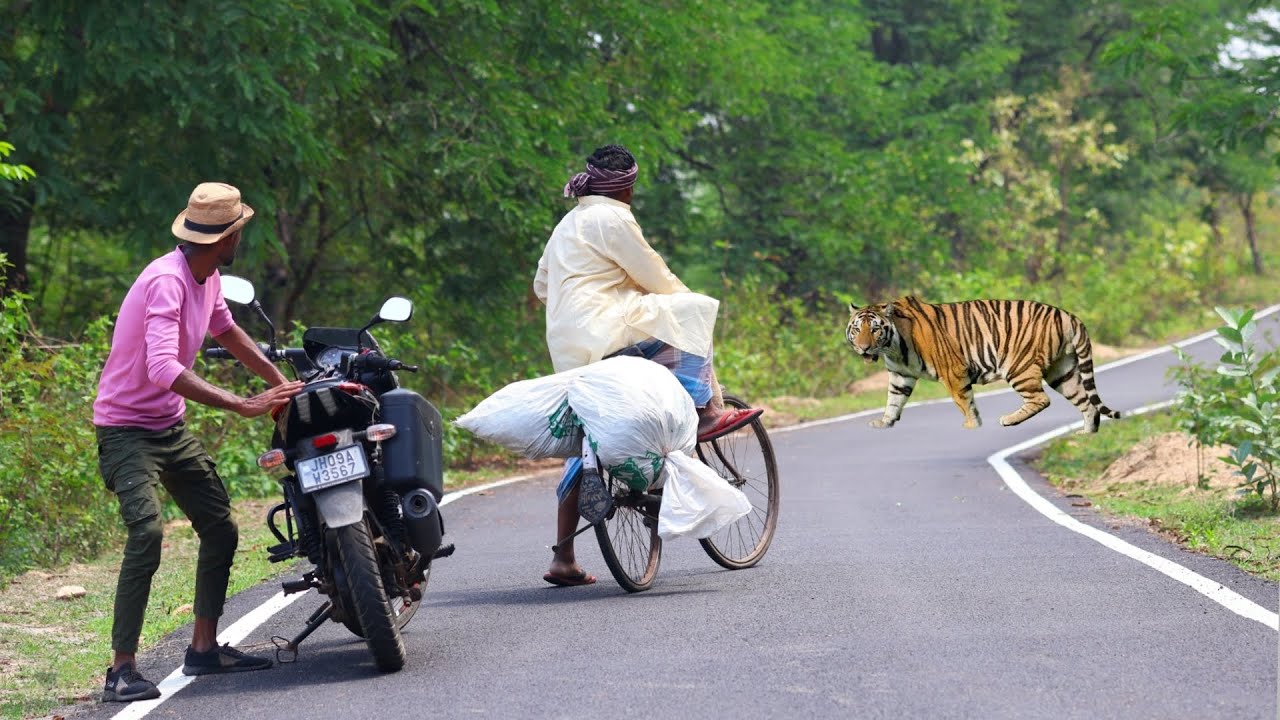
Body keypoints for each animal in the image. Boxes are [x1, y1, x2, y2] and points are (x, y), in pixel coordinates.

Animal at [845, 296, 1120, 432]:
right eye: (857, 329)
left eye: (875, 329)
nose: (864, 347)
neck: (893, 347)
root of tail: (1068, 315)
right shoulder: (900, 376)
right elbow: (893, 400)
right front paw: (884, 422)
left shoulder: (953, 371)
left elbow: (964, 401)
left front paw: (971, 425)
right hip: (1062, 371)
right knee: (1086, 402)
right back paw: (1086, 433)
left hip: (1019, 367)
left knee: (1041, 399)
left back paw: (1008, 420)